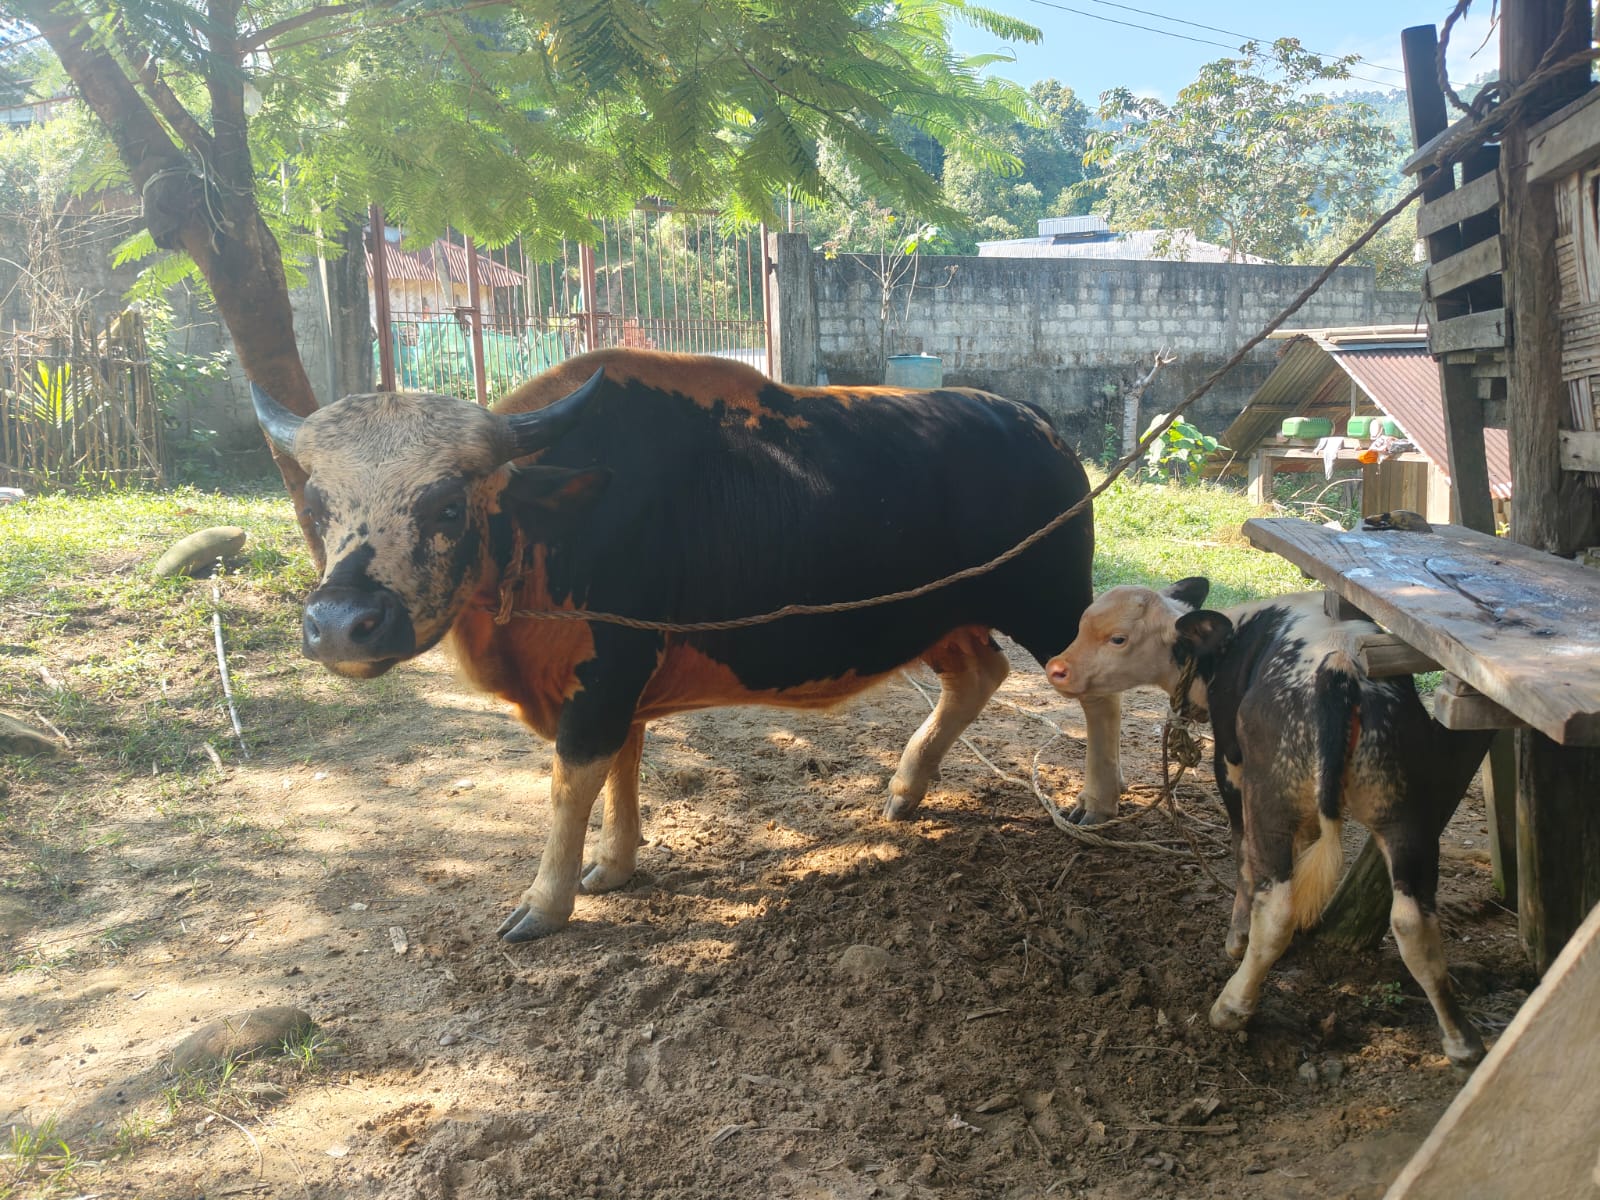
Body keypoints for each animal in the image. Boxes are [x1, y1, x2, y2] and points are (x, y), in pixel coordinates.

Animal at [250, 349, 1123, 943]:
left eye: (447, 506)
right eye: (318, 505)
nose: (340, 623)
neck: (557, 517)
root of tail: (1038, 424)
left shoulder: (607, 673)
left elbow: (574, 778)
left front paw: (545, 902)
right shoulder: (615, 682)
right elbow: (623, 767)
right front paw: (615, 864)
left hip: (1050, 602)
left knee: (1096, 687)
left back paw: (1099, 800)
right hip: (939, 617)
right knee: (977, 675)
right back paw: (907, 789)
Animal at [1045, 582, 1489, 1068]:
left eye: (1118, 638)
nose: (1056, 668)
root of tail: (1340, 668)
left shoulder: (1231, 768)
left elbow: (1242, 860)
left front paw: (1237, 938)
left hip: (1269, 797)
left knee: (1276, 908)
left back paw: (1232, 1005)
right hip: (1403, 810)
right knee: (1413, 921)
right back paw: (1462, 1041)